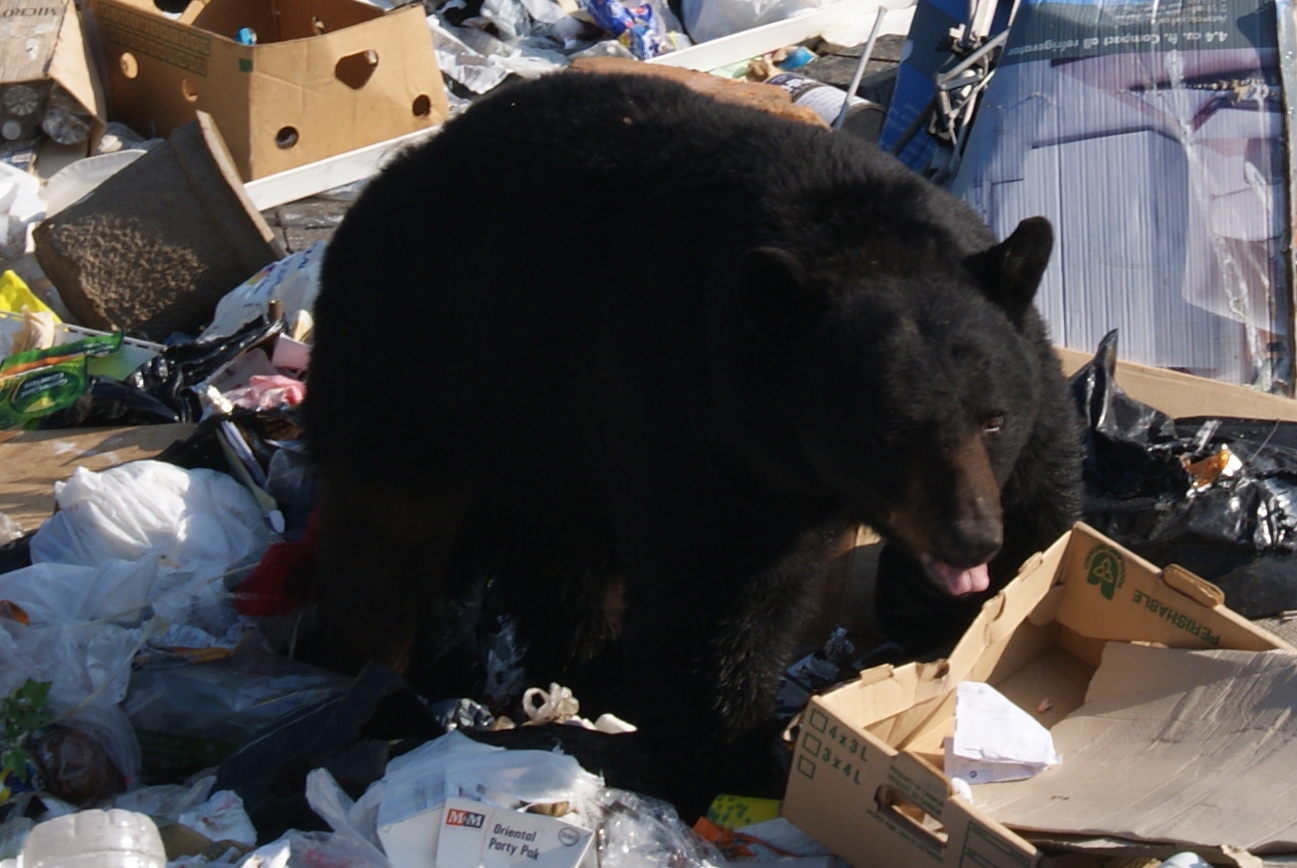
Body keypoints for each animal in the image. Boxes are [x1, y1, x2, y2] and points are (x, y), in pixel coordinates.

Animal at [306, 67, 1084, 814]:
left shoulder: (1026, 381)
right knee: (387, 548)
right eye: (888, 433)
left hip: (551, 435)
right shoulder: (700, 420)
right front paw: (738, 765)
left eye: (993, 419)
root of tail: (369, 202)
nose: (970, 539)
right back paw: (372, 683)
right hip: (418, 374)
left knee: (562, 567)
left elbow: (1041, 504)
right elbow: (718, 606)